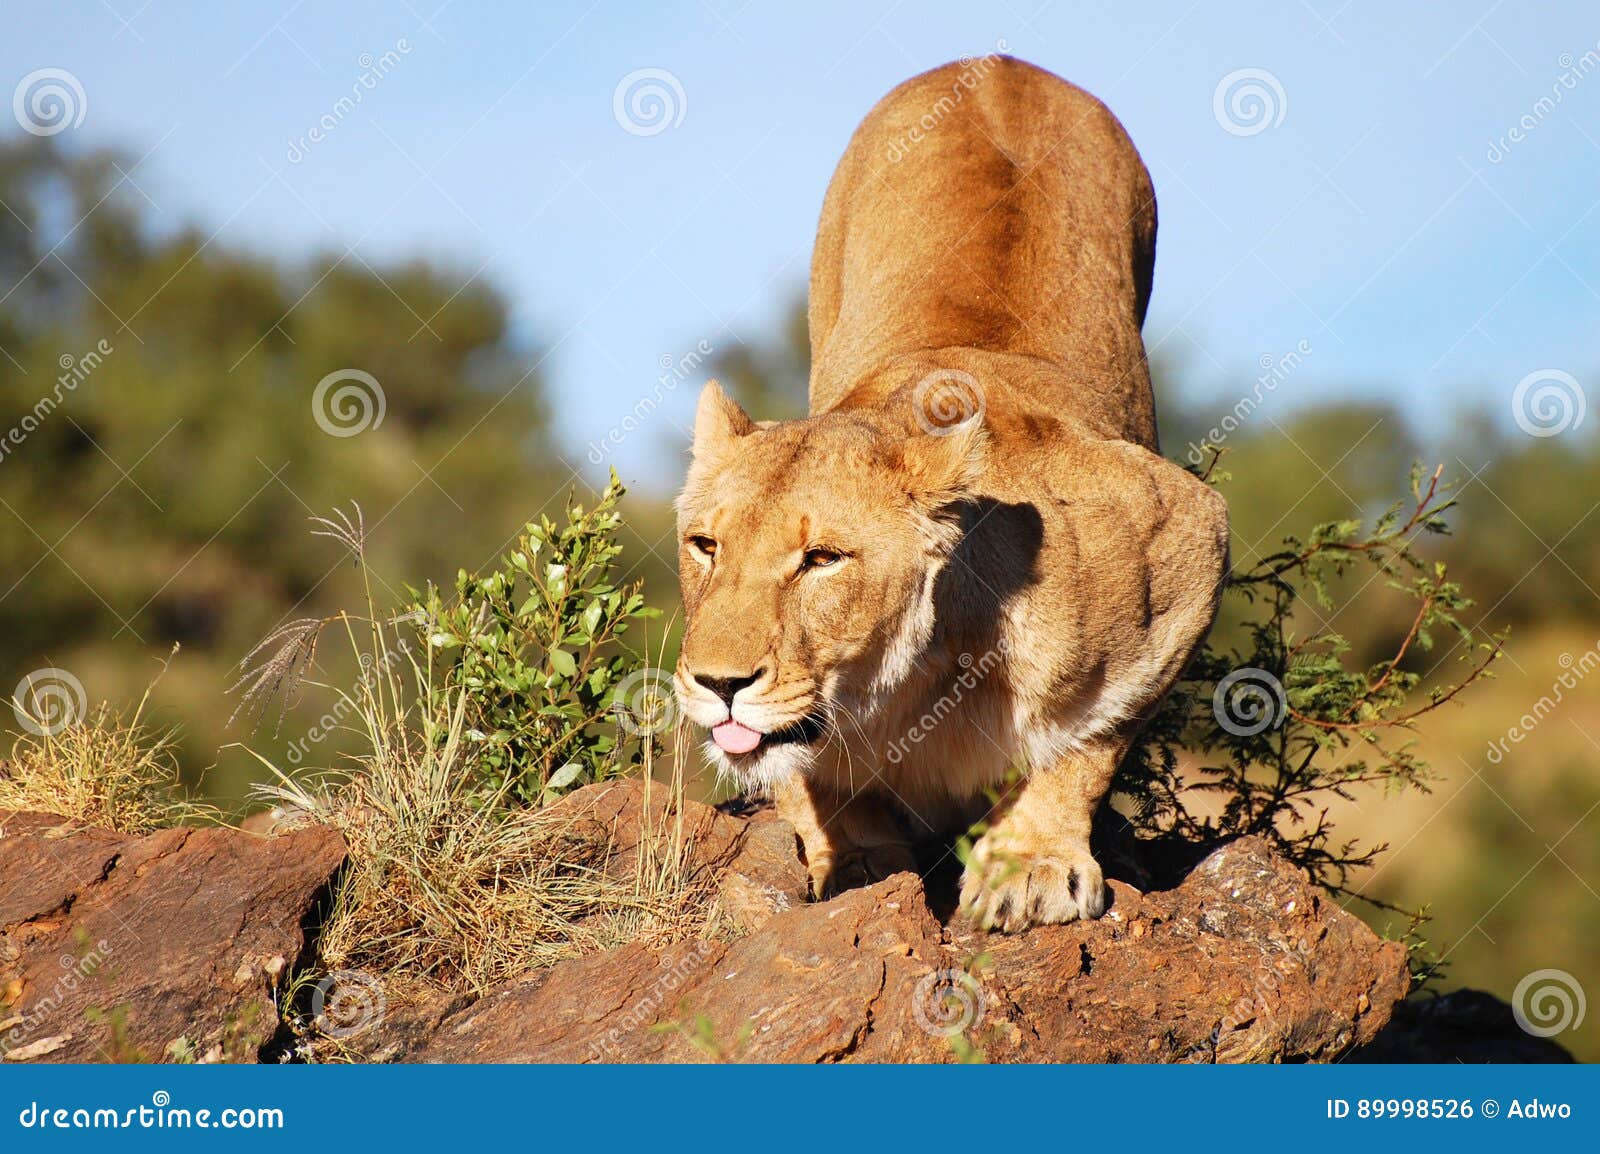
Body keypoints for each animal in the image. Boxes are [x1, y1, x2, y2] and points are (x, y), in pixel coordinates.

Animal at [673, 56, 1229, 931]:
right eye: (706, 546)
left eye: (822, 560)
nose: (717, 686)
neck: (903, 688)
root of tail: (999, 62)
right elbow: (808, 778)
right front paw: (858, 866)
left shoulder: (1182, 540)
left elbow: (1085, 740)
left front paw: (1029, 870)